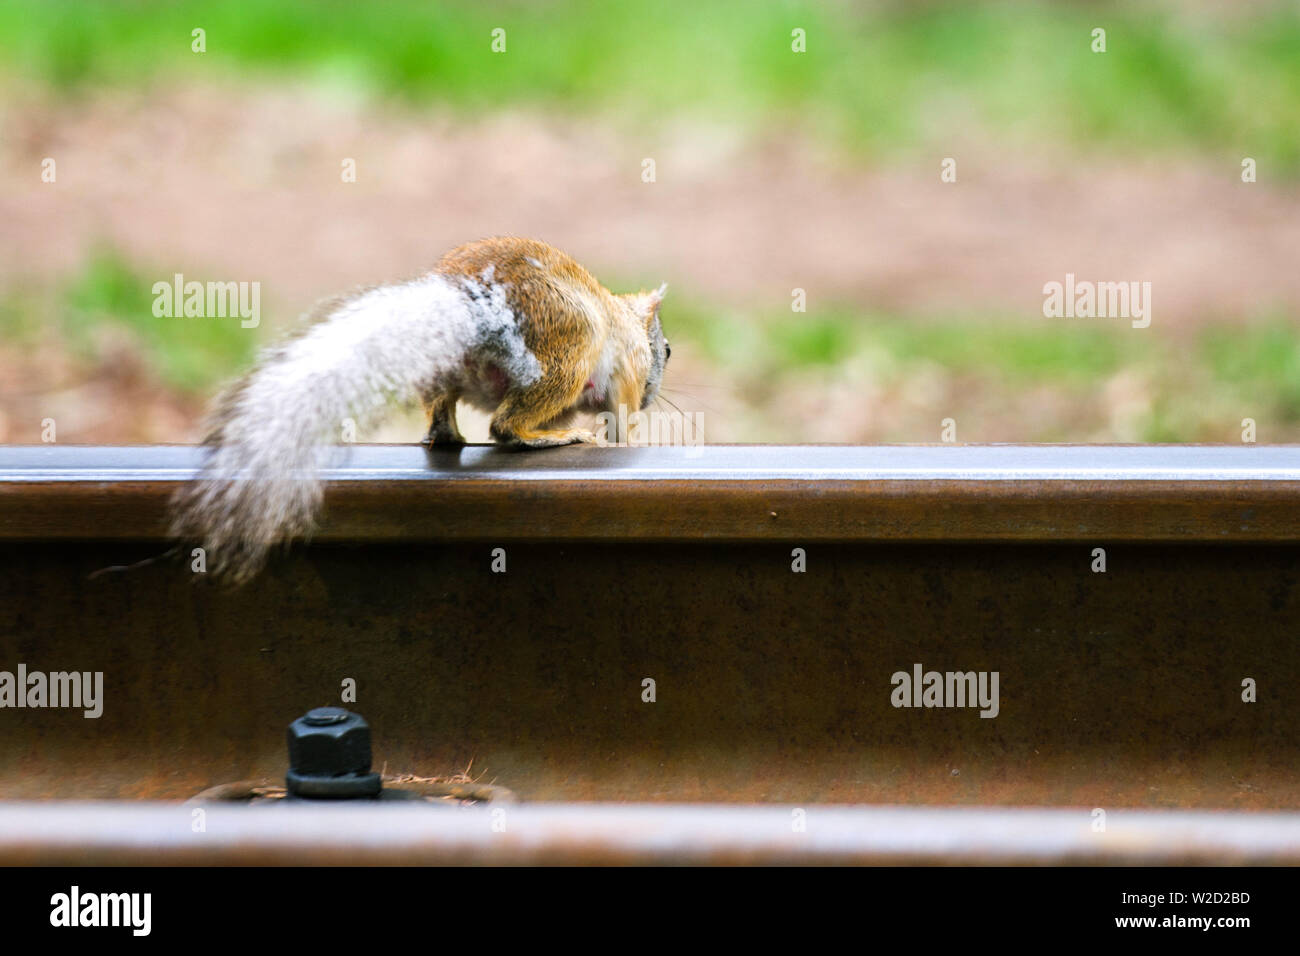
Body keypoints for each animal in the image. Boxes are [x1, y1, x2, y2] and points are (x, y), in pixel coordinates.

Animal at [171, 236, 670, 582]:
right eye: (665, 350)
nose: (654, 392)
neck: (623, 319)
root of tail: (463, 311)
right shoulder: (626, 371)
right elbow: (622, 416)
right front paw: (619, 437)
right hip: (569, 343)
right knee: (506, 425)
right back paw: (546, 436)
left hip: (443, 370)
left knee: (448, 412)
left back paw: (447, 435)